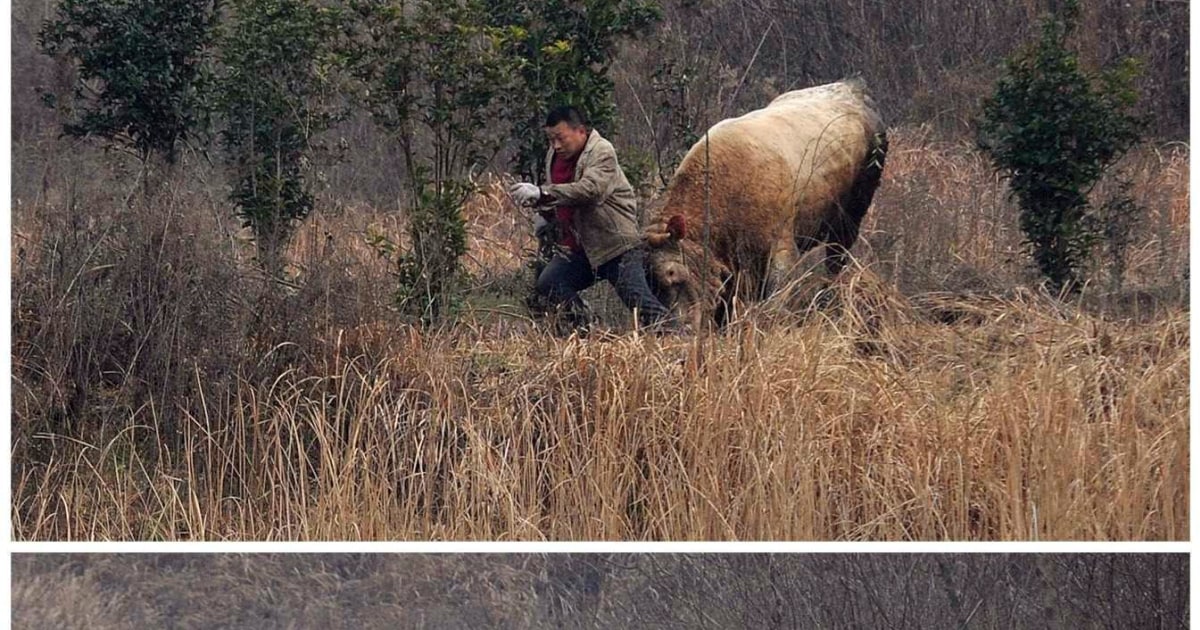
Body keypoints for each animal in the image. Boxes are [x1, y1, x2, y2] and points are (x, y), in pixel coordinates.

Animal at [643, 79, 887, 327]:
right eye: (651, 285)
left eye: (673, 275)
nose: (675, 327)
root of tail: (853, 88)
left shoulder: (782, 249)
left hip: (850, 218)